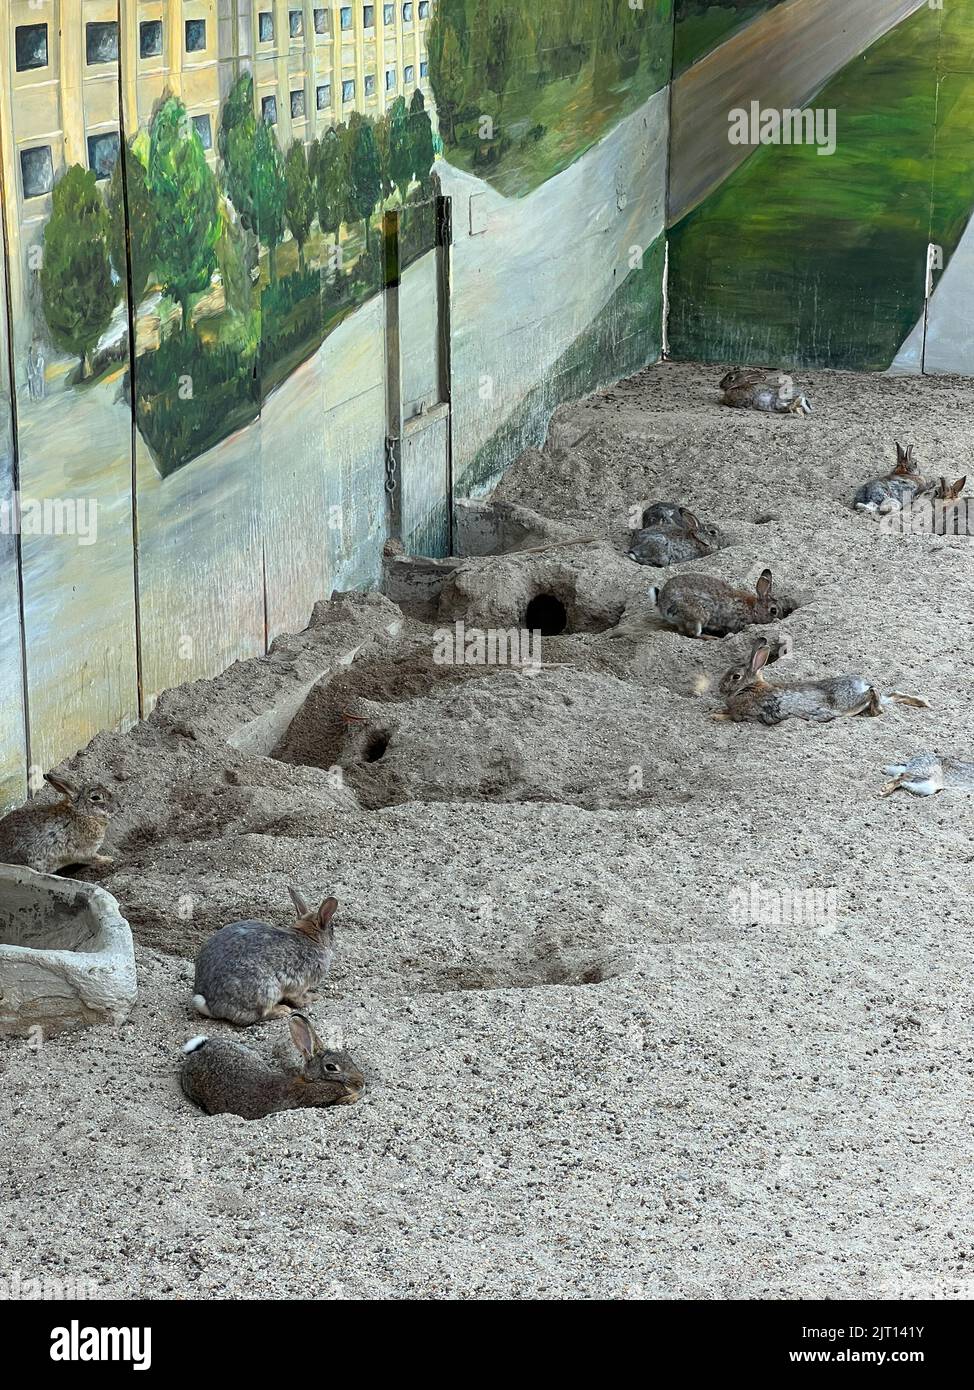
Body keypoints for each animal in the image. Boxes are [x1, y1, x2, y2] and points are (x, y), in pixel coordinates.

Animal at [191, 887, 338, 1026]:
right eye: (332, 929)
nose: (334, 941)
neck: (308, 936)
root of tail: (211, 1006)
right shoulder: (300, 982)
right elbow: (298, 998)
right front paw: (314, 997)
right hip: (266, 990)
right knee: (255, 1016)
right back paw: (282, 1010)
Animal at [650, 567, 783, 637]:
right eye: (773, 610)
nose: (779, 619)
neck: (754, 608)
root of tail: (662, 603)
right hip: (698, 614)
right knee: (694, 633)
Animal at [715, 640, 930, 725]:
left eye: (735, 676)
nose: (719, 687)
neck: (749, 687)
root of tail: (860, 683)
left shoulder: (743, 714)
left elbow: (730, 716)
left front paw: (715, 716)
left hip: (847, 705)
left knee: (873, 696)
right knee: (892, 695)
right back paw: (924, 702)